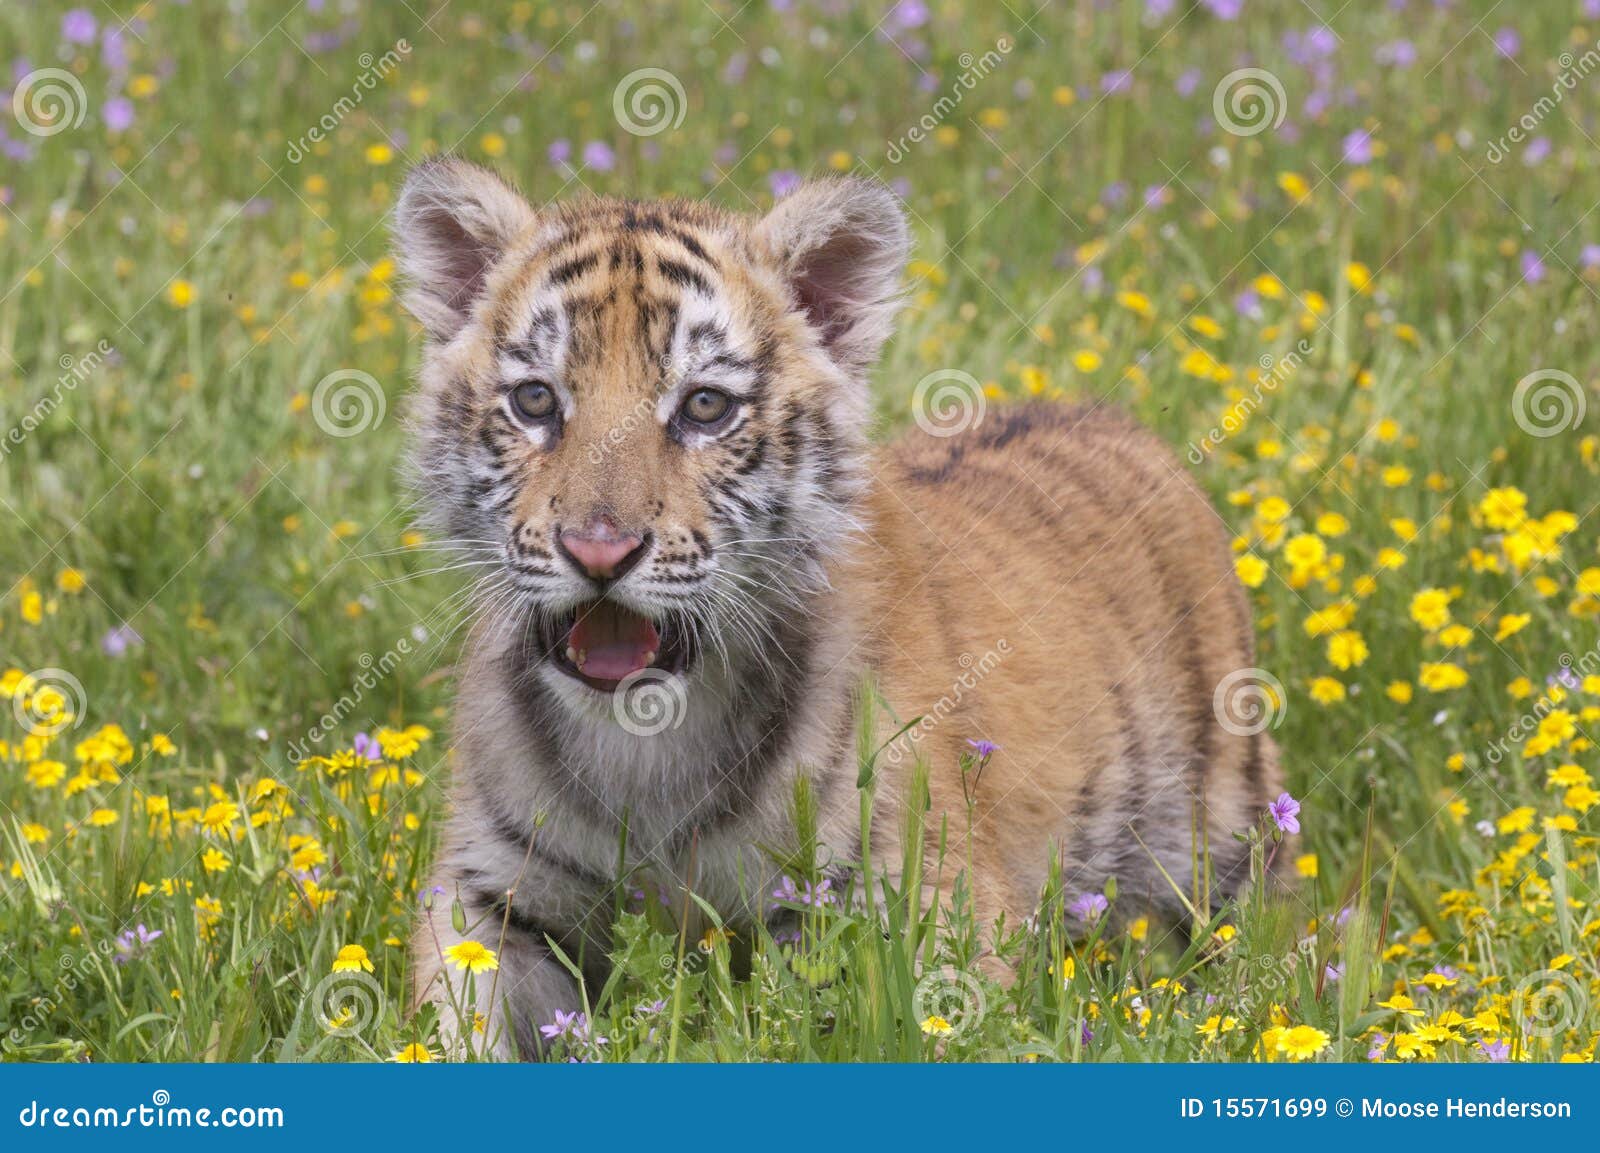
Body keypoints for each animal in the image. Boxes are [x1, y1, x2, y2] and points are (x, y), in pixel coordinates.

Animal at [392, 157, 1280, 1059]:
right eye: (536, 402)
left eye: (705, 406)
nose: (598, 550)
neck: (645, 739)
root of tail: (1107, 417)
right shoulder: (489, 899)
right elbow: (444, 1027)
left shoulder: (924, 908)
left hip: (1223, 845)